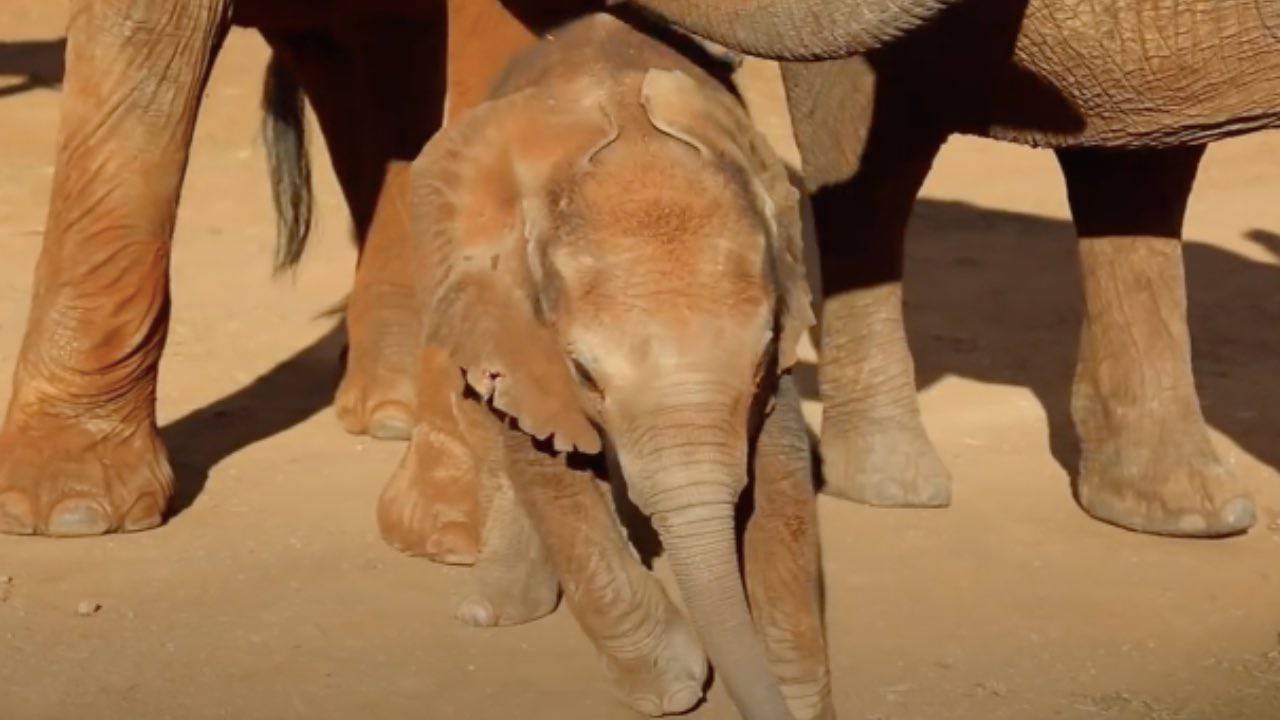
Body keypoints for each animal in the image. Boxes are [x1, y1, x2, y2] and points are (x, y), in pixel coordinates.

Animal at [387, 13, 829, 719]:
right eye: (586, 376)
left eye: (762, 355)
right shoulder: (519, 318)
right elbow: (548, 467)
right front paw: (670, 686)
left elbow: (781, 463)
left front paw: (796, 695)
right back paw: (490, 612)